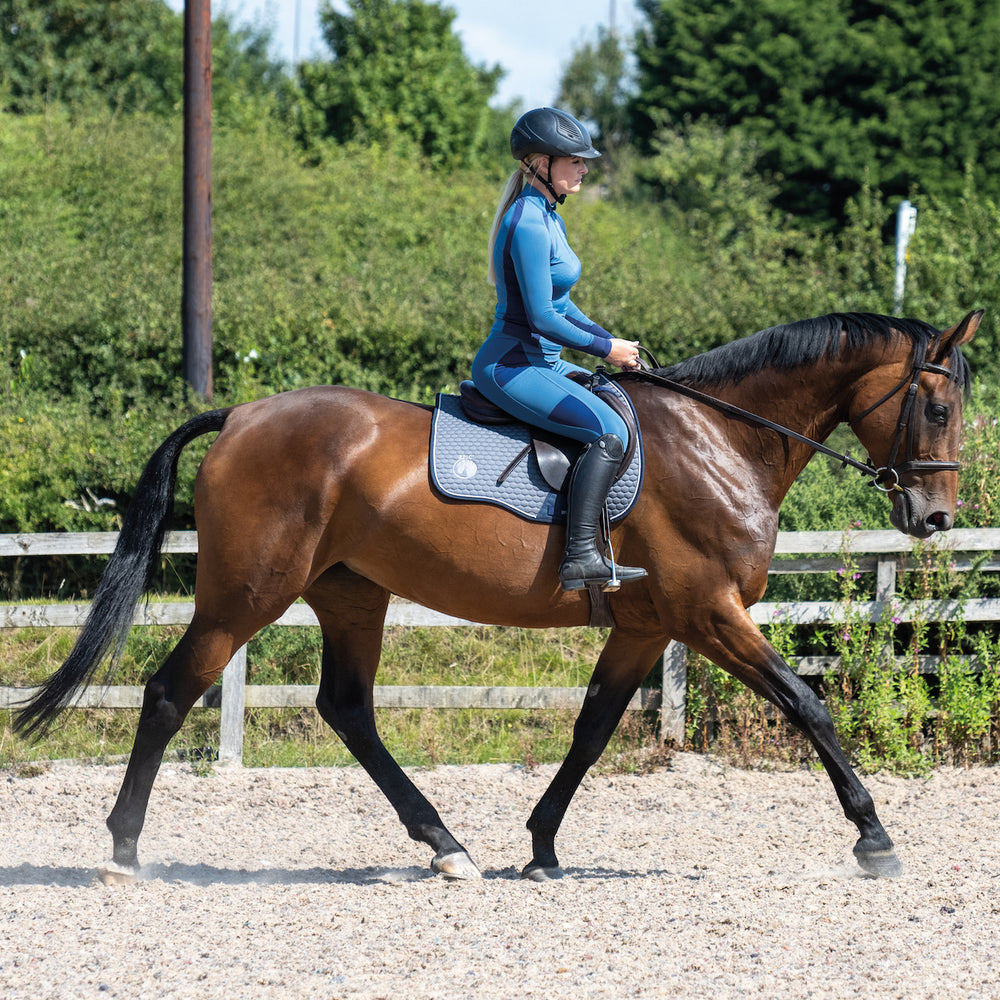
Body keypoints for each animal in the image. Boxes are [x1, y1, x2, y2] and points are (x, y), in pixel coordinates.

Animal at [16, 310, 979, 883]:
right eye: (937, 409)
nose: (934, 518)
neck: (720, 437)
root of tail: (243, 416)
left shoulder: (645, 627)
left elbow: (592, 729)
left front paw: (544, 846)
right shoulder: (708, 613)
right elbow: (808, 706)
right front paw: (875, 837)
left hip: (351, 596)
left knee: (348, 709)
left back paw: (446, 847)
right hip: (244, 596)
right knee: (170, 691)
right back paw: (124, 850)